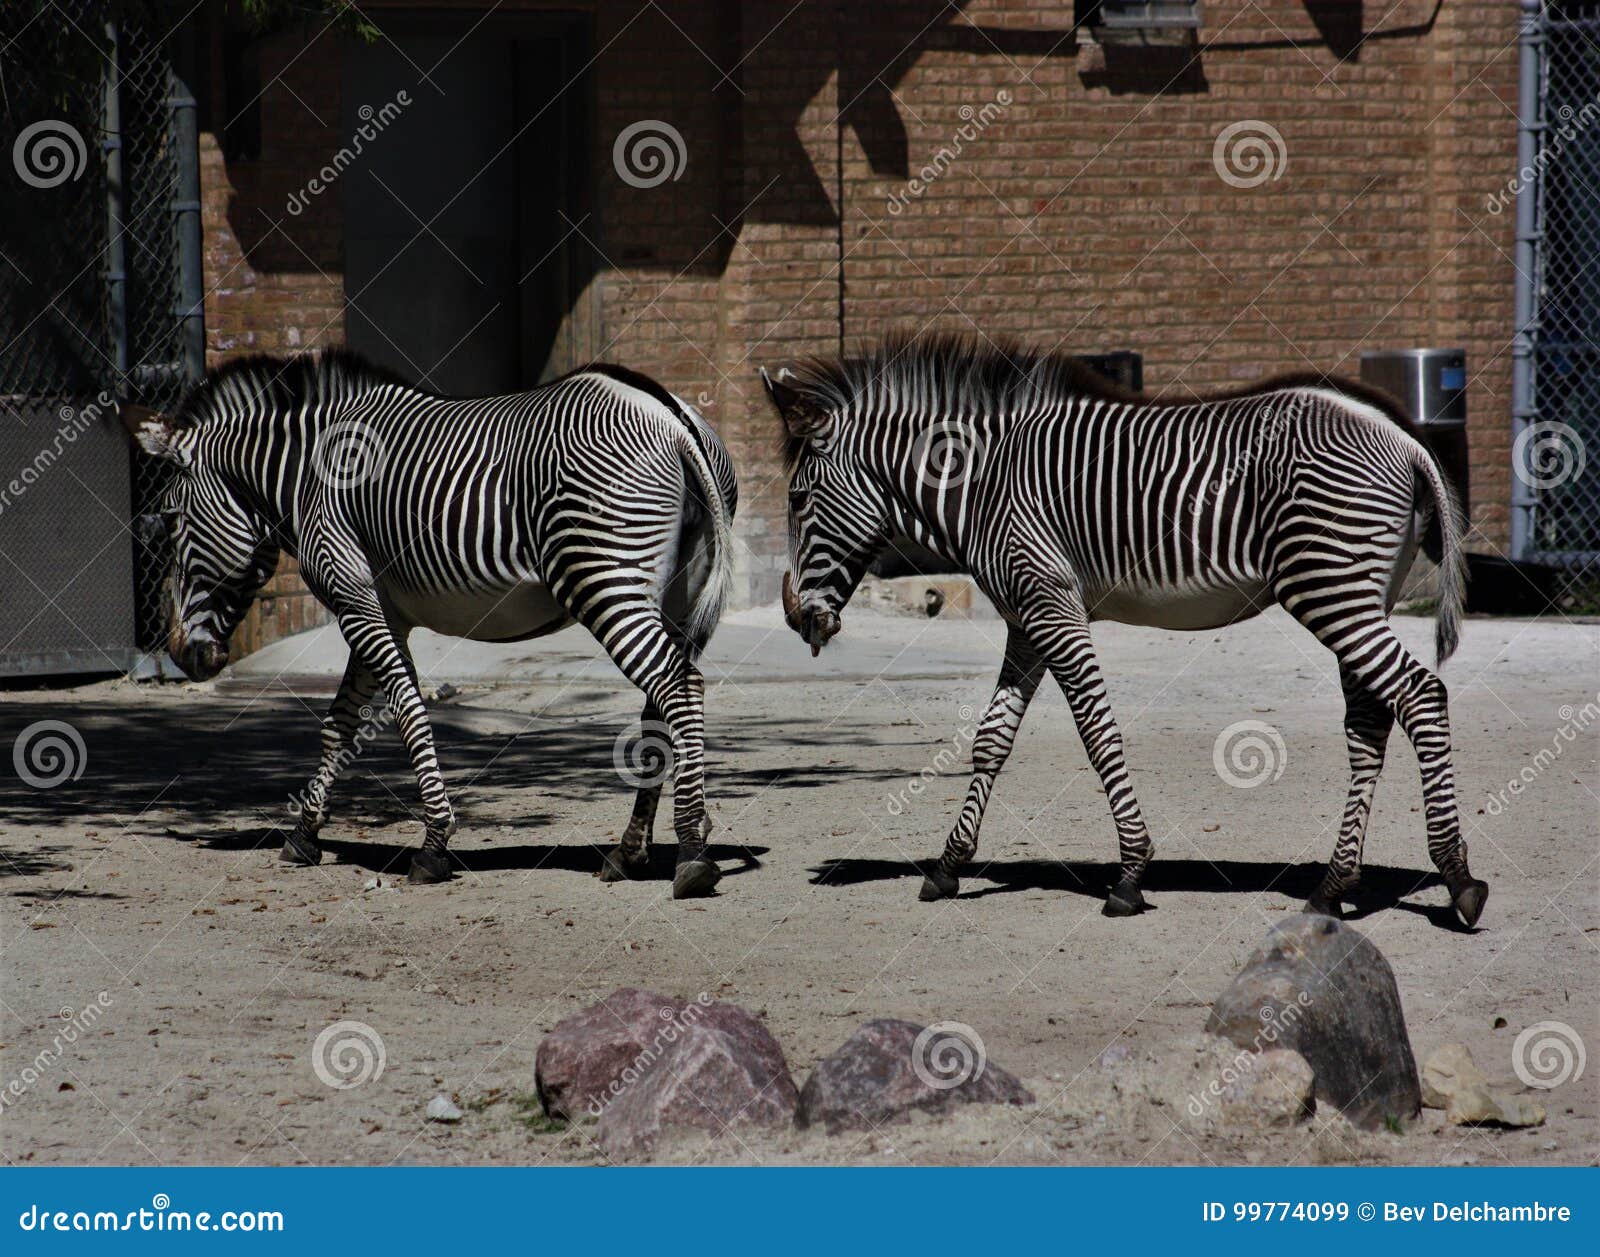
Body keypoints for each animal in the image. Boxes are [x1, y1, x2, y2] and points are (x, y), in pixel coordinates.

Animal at [121, 349, 736, 897]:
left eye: (171, 521)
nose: (181, 654)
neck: (306, 476)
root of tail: (669, 415)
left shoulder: (354, 599)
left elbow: (404, 708)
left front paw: (434, 843)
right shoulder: (379, 608)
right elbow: (340, 722)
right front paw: (303, 834)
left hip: (603, 579)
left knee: (678, 686)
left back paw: (691, 851)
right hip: (666, 596)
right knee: (661, 699)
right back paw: (629, 852)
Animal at [764, 331, 1489, 929]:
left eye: (798, 499)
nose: (800, 620)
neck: (982, 483)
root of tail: (1406, 439)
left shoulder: (1052, 608)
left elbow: (1096, 731)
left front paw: (1131, 873)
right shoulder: (1026, 618)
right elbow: (993, 739)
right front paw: (947, 866)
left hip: (1331, 589)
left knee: (1420, 695)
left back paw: (1458, 880)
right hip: (1358, 593)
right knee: (1370, 721)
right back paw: (1334, 885)